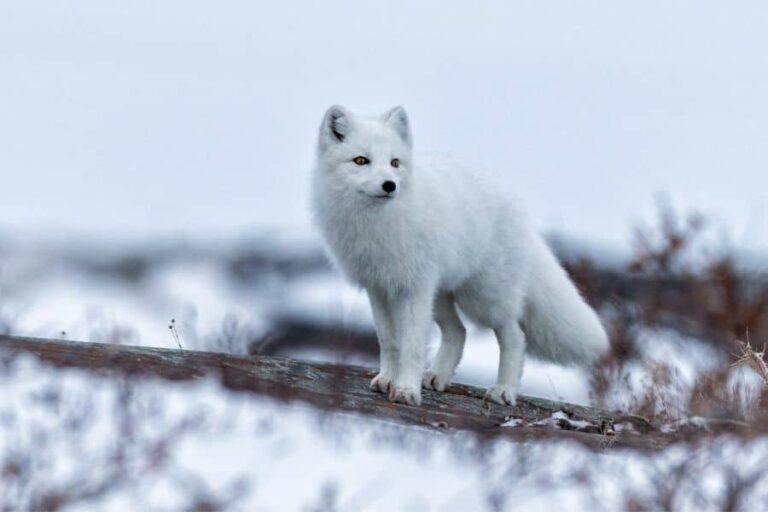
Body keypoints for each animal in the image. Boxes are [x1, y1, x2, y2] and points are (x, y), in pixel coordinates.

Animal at [311, 105, 609, 406]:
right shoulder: (378, 287)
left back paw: (504, 390)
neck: (376, 224)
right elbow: (389, 341)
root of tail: (517, 205)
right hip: (443, 294)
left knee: (515, 336)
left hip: (483, 298)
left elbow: (412, 345)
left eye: (395, 163)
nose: (389, 185)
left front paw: (406, 391)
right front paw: (386, 380)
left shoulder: (415, 287)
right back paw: (437, 377)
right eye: (361, 160)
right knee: (458, 331)